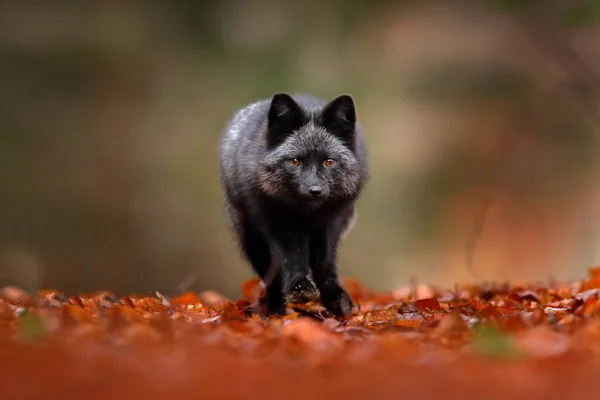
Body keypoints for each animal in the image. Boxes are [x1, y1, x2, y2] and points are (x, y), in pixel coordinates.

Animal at [219, 92, 368, 318]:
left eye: (329, 162)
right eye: (295, 161)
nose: (315, 190)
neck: (306, 214)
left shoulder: (332, 221)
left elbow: (324, 263)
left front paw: (335, 298)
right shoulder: (279, 223)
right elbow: (294, 257)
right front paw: (301, 288)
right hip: (253, 241)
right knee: (272, 277)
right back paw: (275, 312)